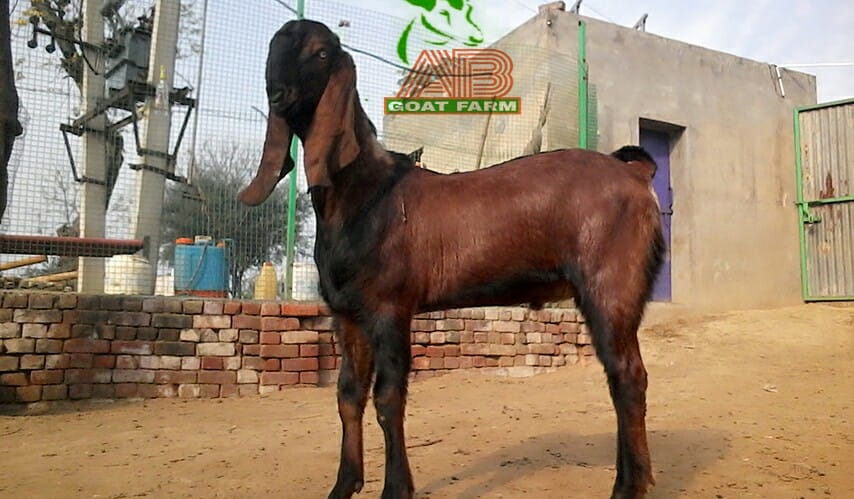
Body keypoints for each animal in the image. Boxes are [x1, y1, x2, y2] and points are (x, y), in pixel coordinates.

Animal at [239, 20, 664, 499]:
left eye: (321, 53)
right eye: (273, 48)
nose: (278, 94)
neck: (366, 192)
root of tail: (633, 173)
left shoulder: (390, 309)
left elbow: (388, 398)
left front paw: (396, 489)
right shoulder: (347, 315)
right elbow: (348, 395)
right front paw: (343, 486)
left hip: (611, 285)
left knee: (628, 376)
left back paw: (628, 486)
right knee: (620, 377)